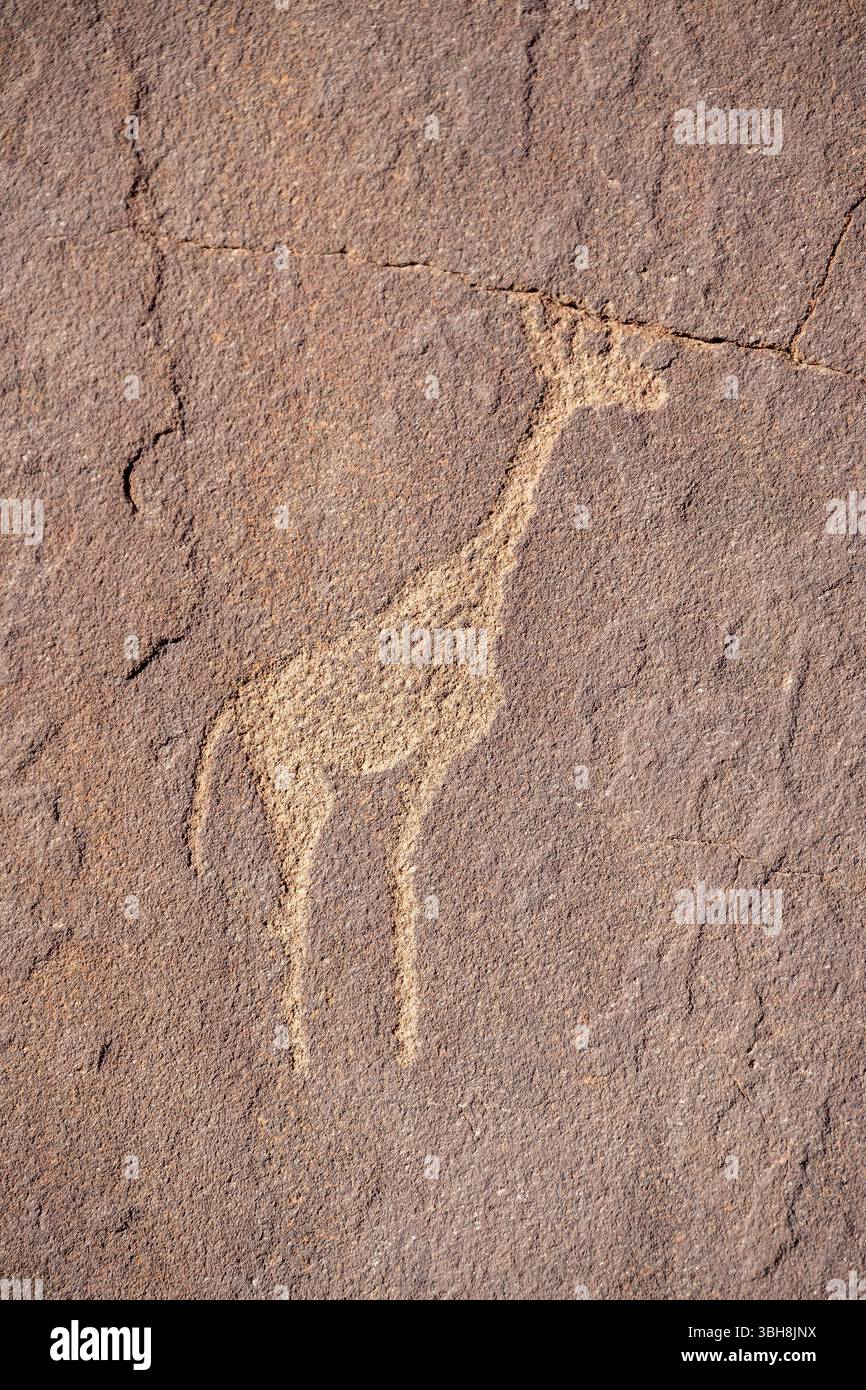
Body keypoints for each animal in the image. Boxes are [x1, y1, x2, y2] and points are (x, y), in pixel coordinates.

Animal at [189, 296, 667, 1072]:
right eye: (609, 370)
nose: (657, 391)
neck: (476, 592)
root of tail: (235, 707)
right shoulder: (440, 745)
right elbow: (403, 862)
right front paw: (407, 1036)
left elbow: (393, 860)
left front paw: (396, 1034)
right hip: (299, 786)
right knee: (292, 893)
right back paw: (298, 1054)